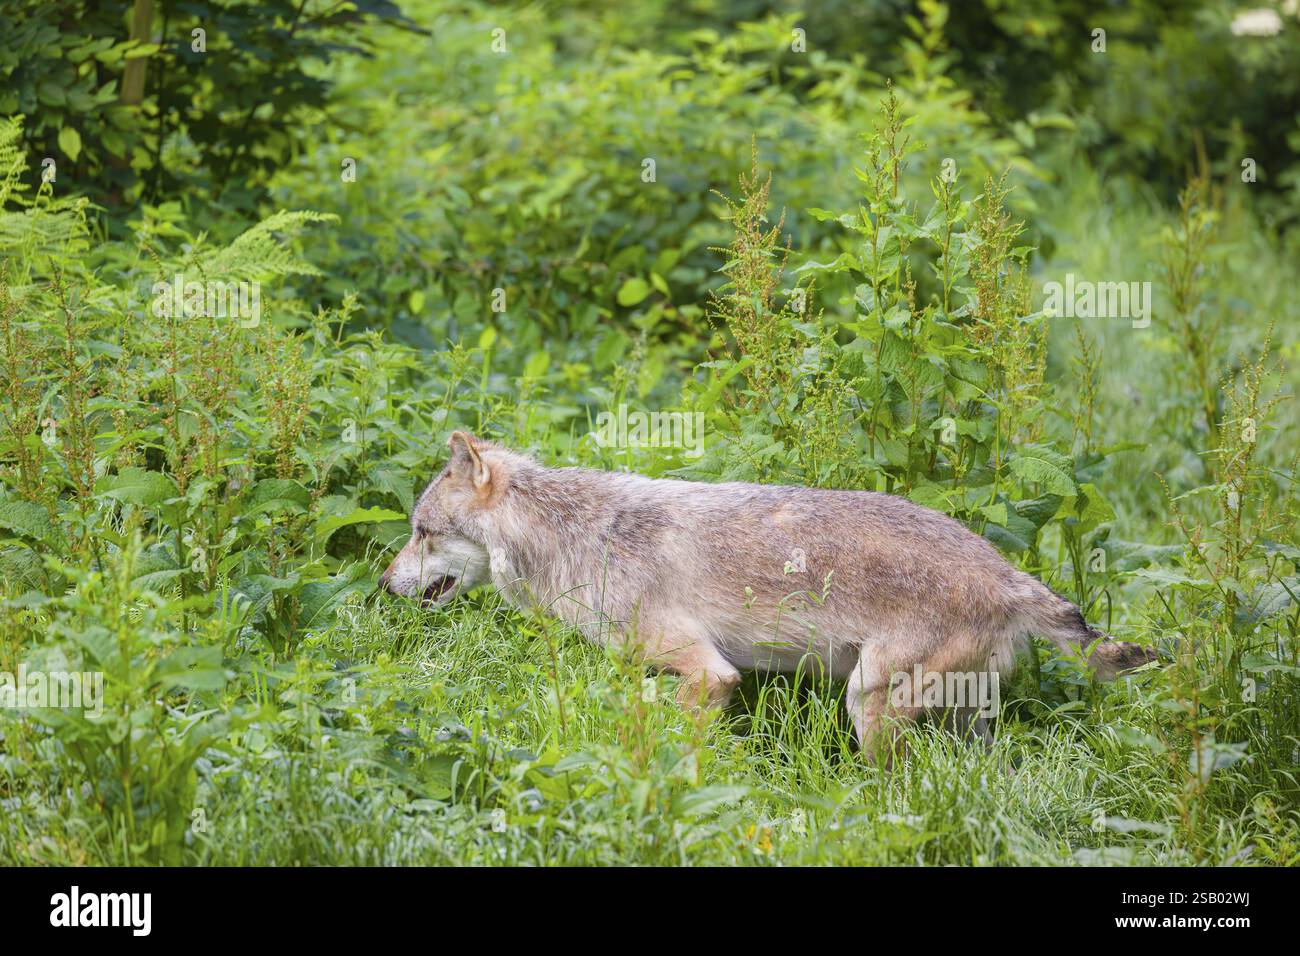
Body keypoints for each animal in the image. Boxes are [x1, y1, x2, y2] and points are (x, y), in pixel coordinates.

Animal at [379, 432, 1154, 759]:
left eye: (420, 533)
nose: (383, 585)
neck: (577, 534)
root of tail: (1006, 571)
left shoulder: (709, 674)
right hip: (960, 723)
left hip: (868, 705)